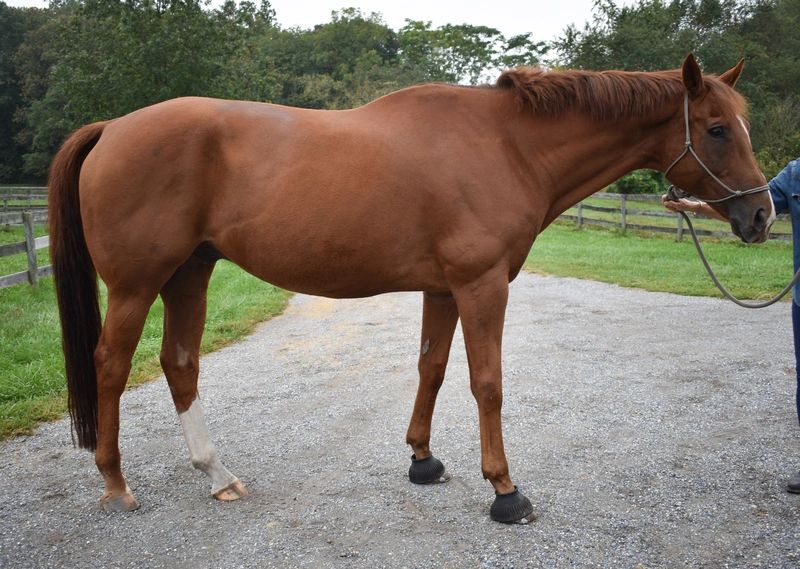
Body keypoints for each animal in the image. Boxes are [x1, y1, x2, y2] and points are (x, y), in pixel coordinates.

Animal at [48, 54, 773, 523]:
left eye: (743, 124)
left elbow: (432, 367)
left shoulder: (445, 289)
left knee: (180, 363)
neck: (508, 146)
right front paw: (505, 490)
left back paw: (217, 474)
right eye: (715, 128)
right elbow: (487, 383)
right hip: (138, 285)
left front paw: (423, 460)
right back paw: (116, 484)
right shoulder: (482, 286)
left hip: (190, 273)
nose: (761, 215)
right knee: (112, 365)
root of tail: (112, 128)